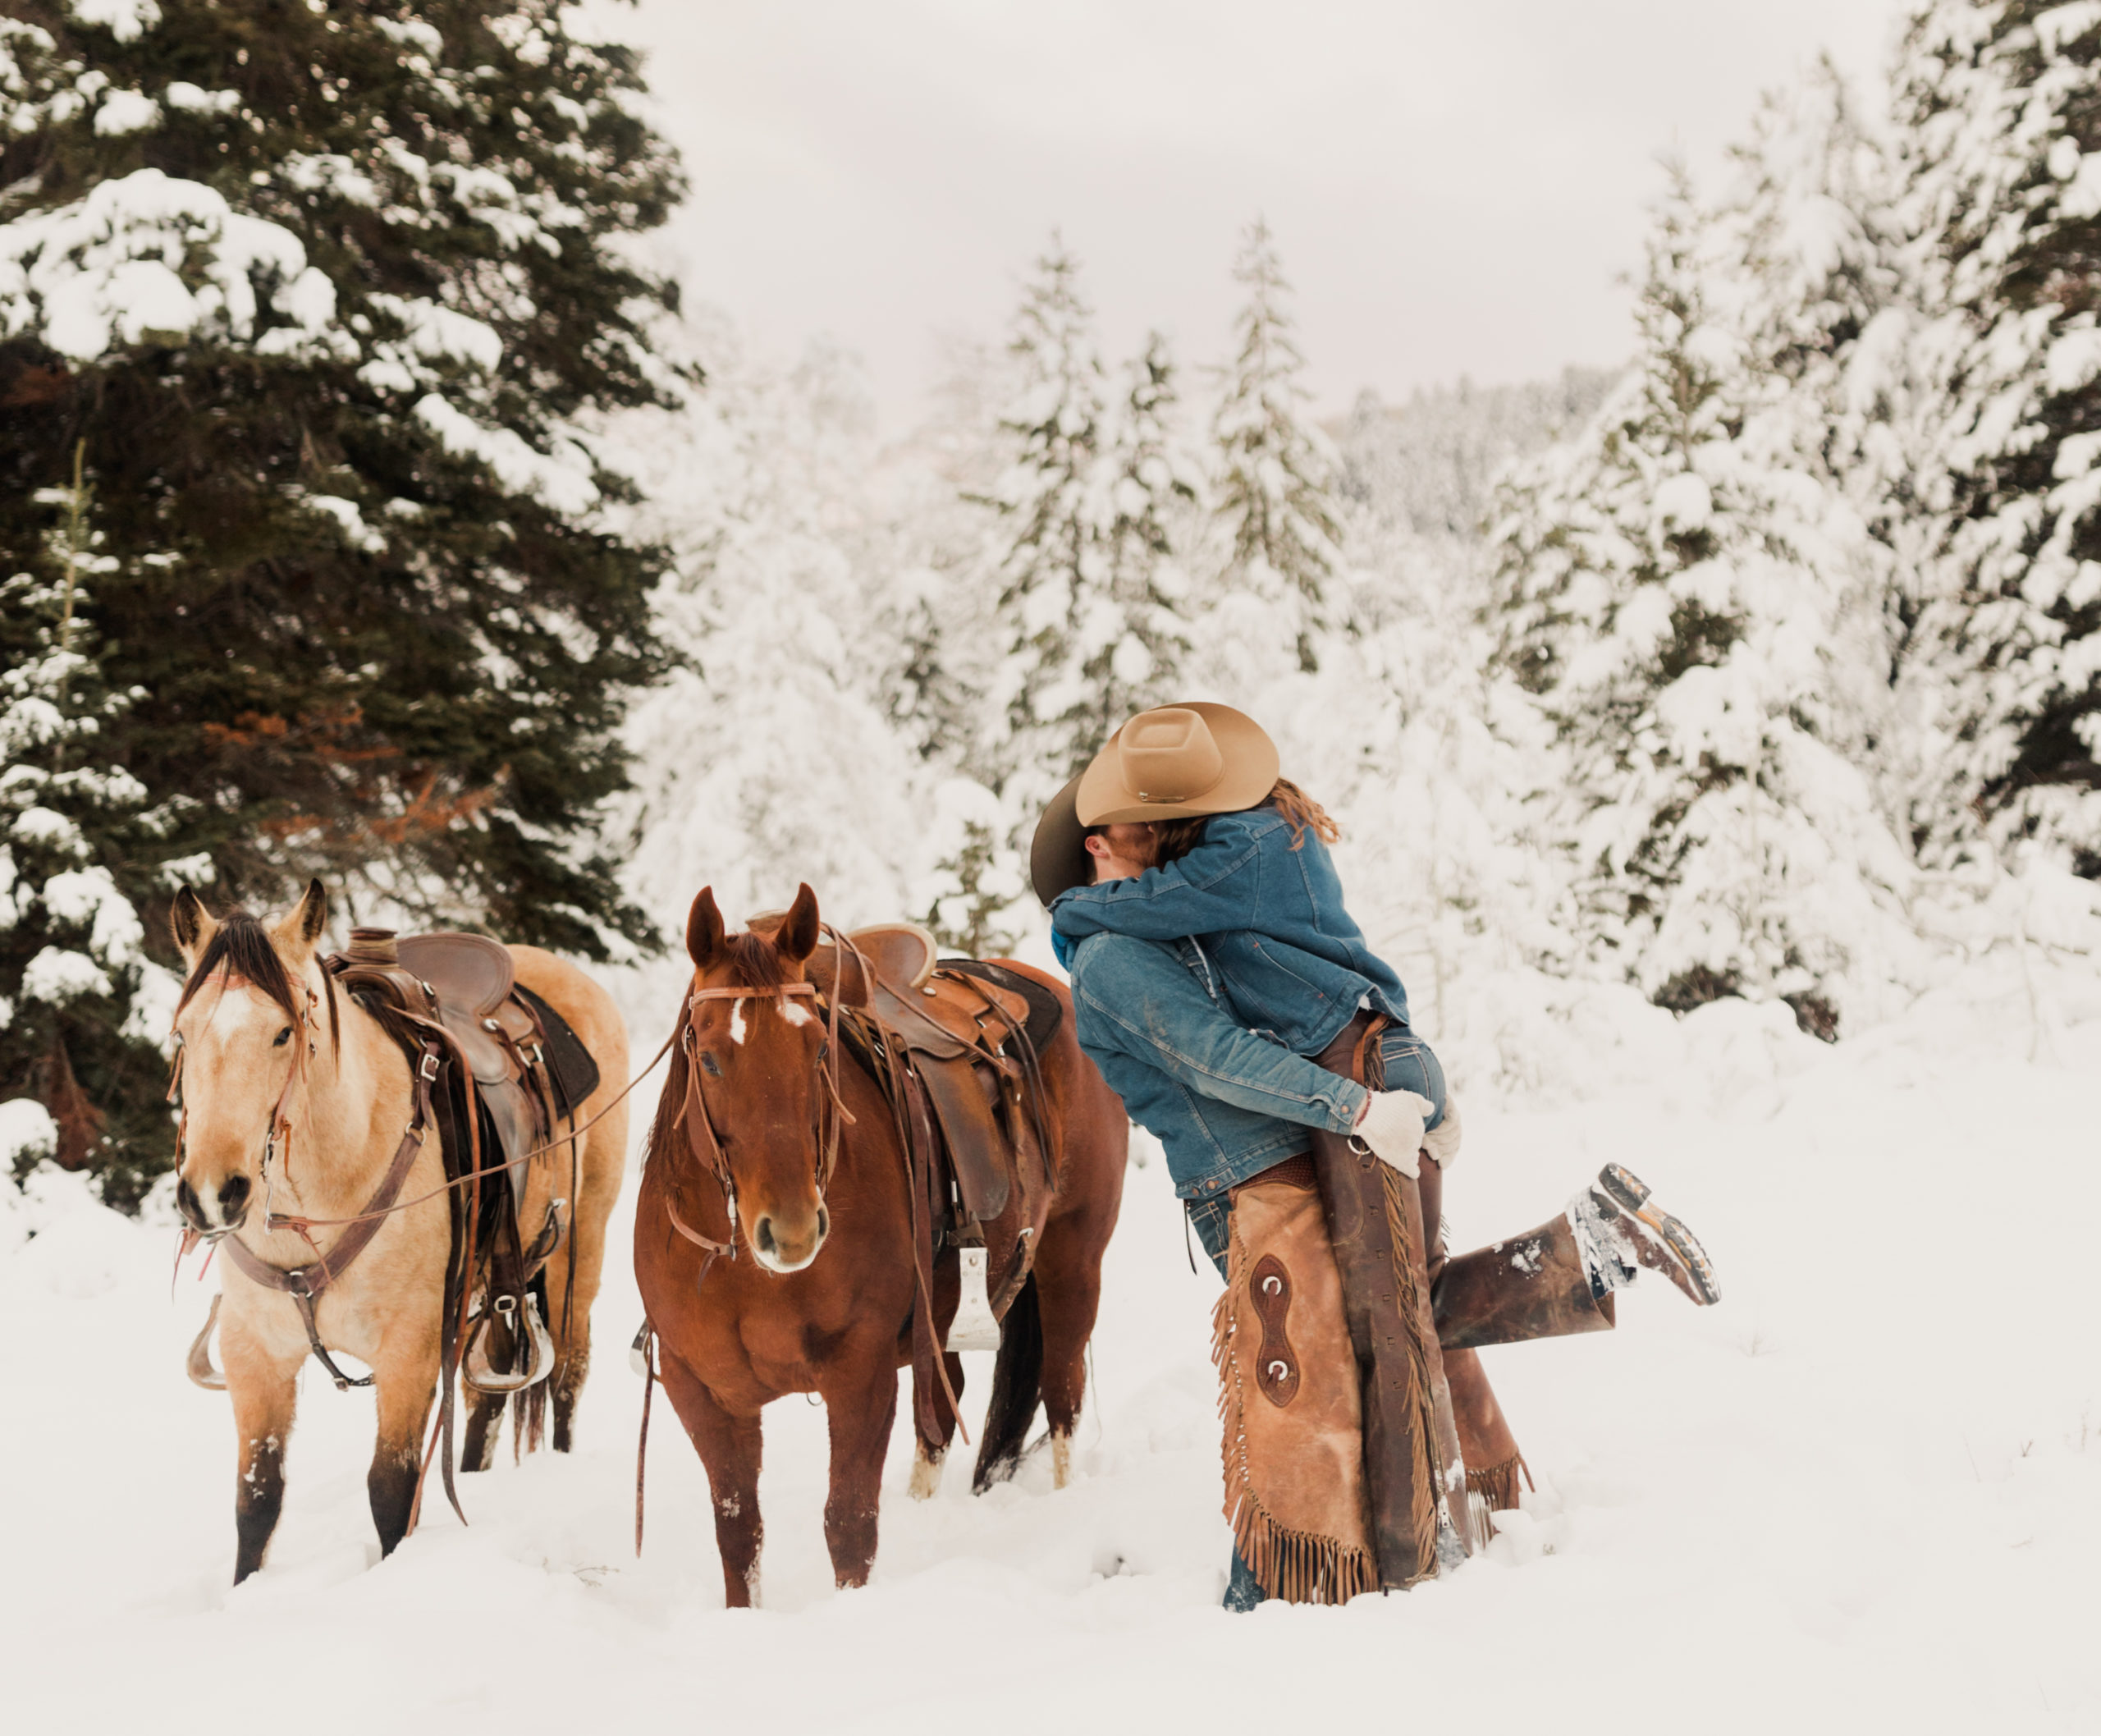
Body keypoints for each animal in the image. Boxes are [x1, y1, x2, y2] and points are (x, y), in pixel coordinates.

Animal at [168, 880, 630, 1582]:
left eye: (282, 1032)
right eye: (184, 1032)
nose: (211, 1192)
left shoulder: (407, 1353)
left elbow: (392, 1491)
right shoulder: (256, 1356)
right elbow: (257, 1500)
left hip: (579, 1253)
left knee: (567, 1376)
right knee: (488, 1395)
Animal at [633, 883, 1127, 1606]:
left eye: (818, 1049)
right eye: (711, 1057)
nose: (792, 1229)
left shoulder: (858, 1373)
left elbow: (849, 1523)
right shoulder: (702, 1391)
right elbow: (739, 1533)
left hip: (1072, 1260)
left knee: (1061, 1393)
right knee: (941, 1408)